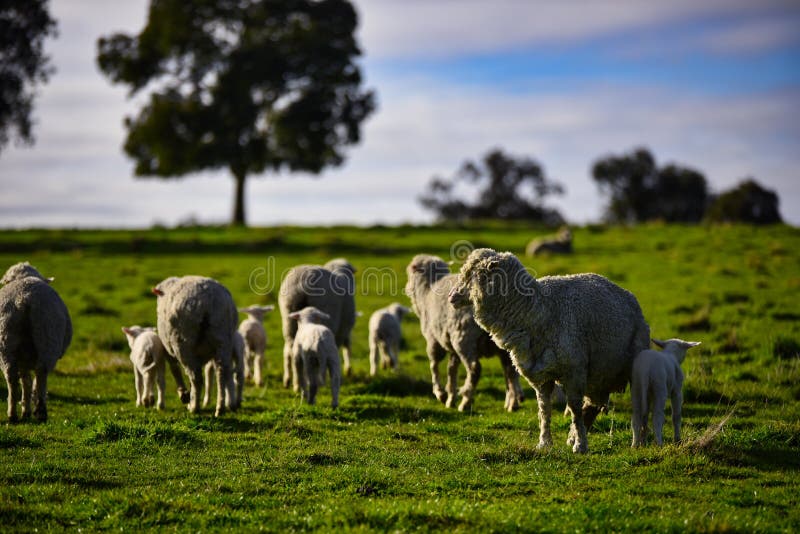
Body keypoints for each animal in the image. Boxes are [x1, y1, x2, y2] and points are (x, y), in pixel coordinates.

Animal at [0, 262, 72, 422]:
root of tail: (23, 299)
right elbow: (28, 381)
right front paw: (27, 408)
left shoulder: (23, 359)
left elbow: (25, 381)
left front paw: (25, 409)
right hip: (47, 337)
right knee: (41, 373)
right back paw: (39, 411)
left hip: (7, 340)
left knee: (11, 377)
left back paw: (13, 414)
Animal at [152, 275, 238, 416]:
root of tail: (207, 301)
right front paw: (188, 396)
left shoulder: (168, 348)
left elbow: (175, 369)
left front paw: (185, 396)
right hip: (223, 337)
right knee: (221, 372)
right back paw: (219, 408)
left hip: (182, 342)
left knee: (196, 377)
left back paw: (195, 408)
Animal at [279, 258, 356, 387]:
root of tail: (302, 284)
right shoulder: (343, 329)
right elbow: (346, 346)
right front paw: (346, 370)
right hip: (326, 318)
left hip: (288, 321)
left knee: (289, 351)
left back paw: (290, 381)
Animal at [405, 254, 524, 413]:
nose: (406, 288)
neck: (427, 289)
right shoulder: (450, 343)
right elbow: (451, 369)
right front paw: (450, 397)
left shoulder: (433, 339)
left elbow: (434, 365)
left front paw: (440, 393)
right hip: (501, 342)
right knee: (510, 370)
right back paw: (512, 404)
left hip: (464, 338)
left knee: (475, 369)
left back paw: (466, 402)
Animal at [449, 248, 650, 453]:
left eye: (474, 274)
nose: (451, 297)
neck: (535, 311)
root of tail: (627, 295)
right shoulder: (540, 375)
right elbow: (544, 409)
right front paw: (545, 443)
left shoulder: (574, 371)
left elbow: (574, 408)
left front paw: (580, 445)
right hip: (599, 375)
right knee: (592, 404)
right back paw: (574, 436)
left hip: (633, 363)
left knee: (637, 405)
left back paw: (638, 442)